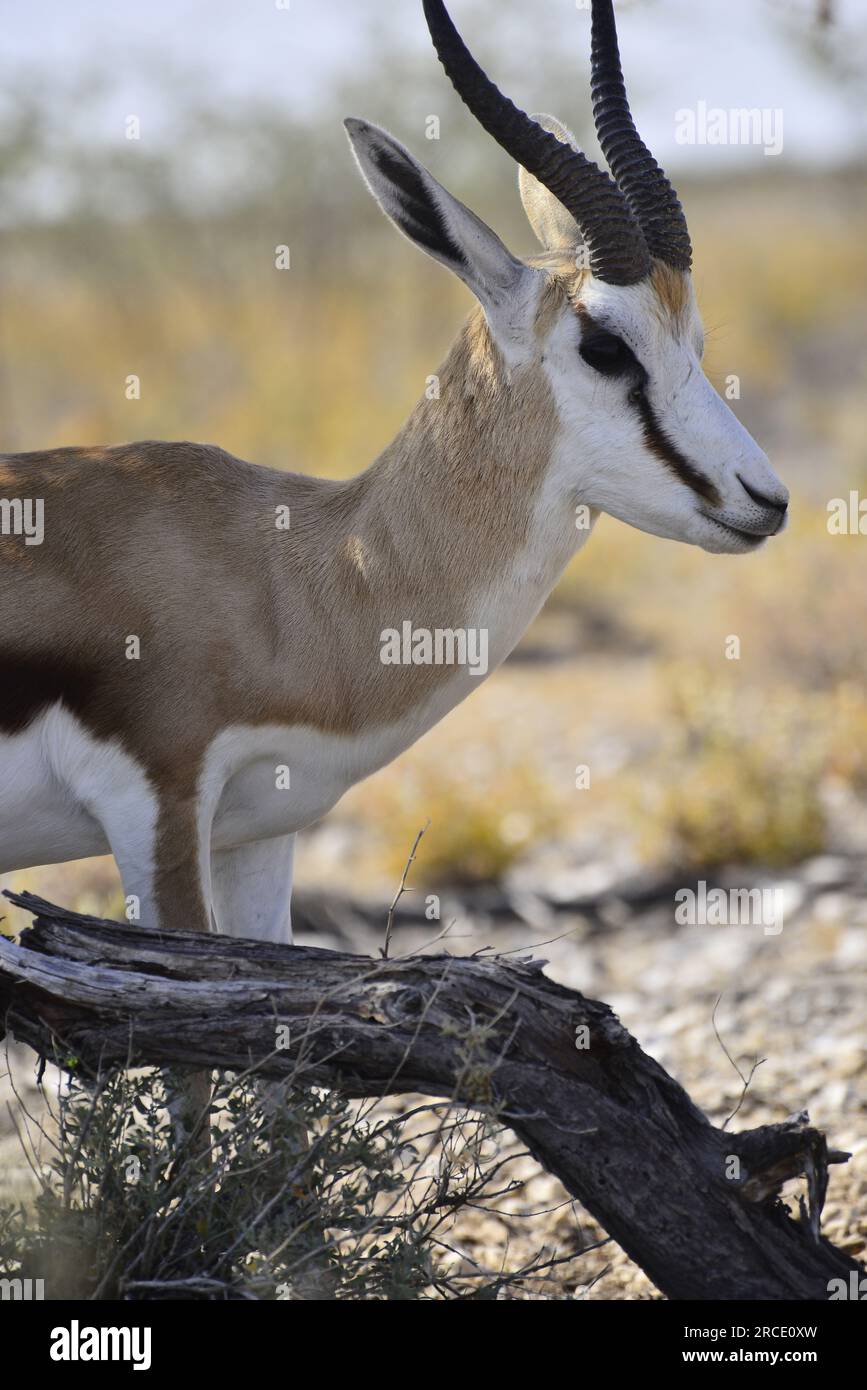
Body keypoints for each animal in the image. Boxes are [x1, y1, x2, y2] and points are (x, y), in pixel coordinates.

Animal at [0, 0, 788, 949]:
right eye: (604, 344)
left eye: (694, 340)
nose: (765, 500)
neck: (287, 574)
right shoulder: (155, 802)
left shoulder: (258, 830)